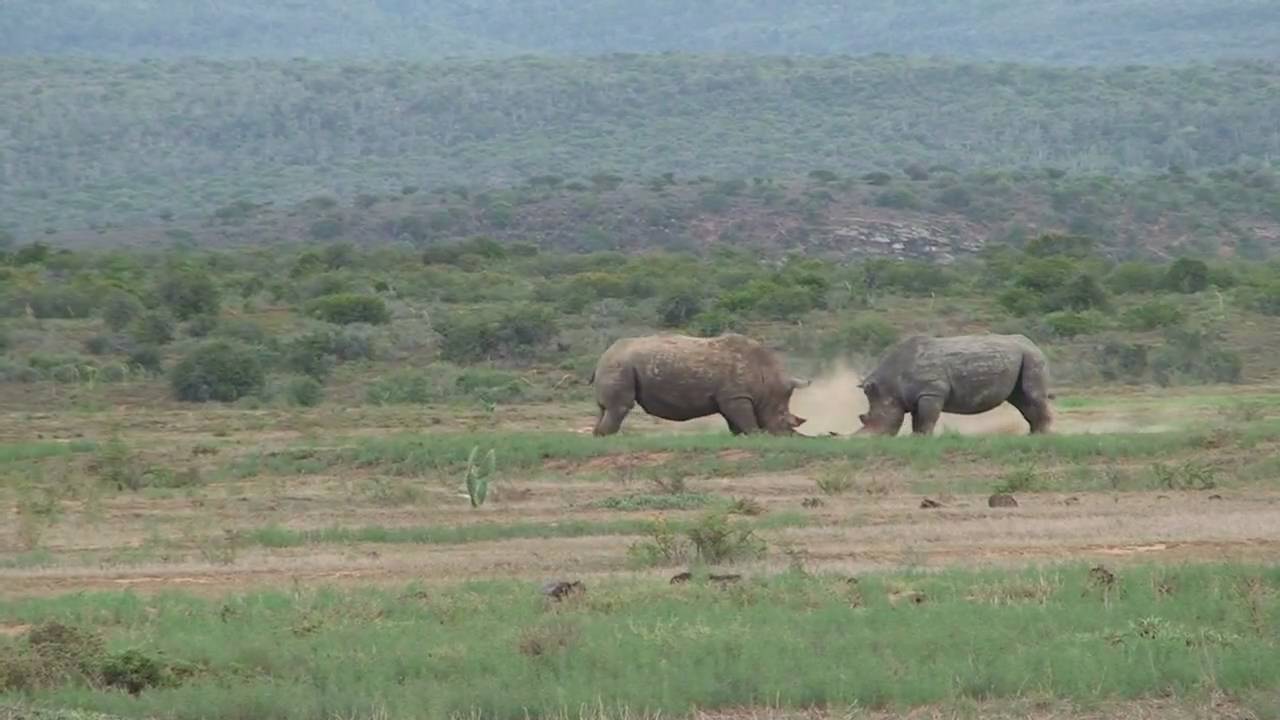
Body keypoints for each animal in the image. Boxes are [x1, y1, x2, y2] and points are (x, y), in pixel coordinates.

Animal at [590, 333, 809, 436]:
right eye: (782, 418)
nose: (787, 437)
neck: (767, 379)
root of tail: (604, 354)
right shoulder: (736, 397)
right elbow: (748, 423)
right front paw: (758, 437)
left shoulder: (730, 398)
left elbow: (736, 424)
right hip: (620, 364)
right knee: (620, 407)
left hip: (616, 364)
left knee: (605, 408)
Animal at [855, 333, 1054, 436]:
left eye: (874, 419)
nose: (861, 439)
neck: (890, 383)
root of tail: (1032, 343)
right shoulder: (918, 396)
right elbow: (917, 420)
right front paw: (916, 438)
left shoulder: (931, 392)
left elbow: (927, 418)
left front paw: (924, 438)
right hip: (1023, 356)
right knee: (1020, 399)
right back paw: (1033, 435)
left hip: (1031, 356)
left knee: (1032, 395)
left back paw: (1043, 435)